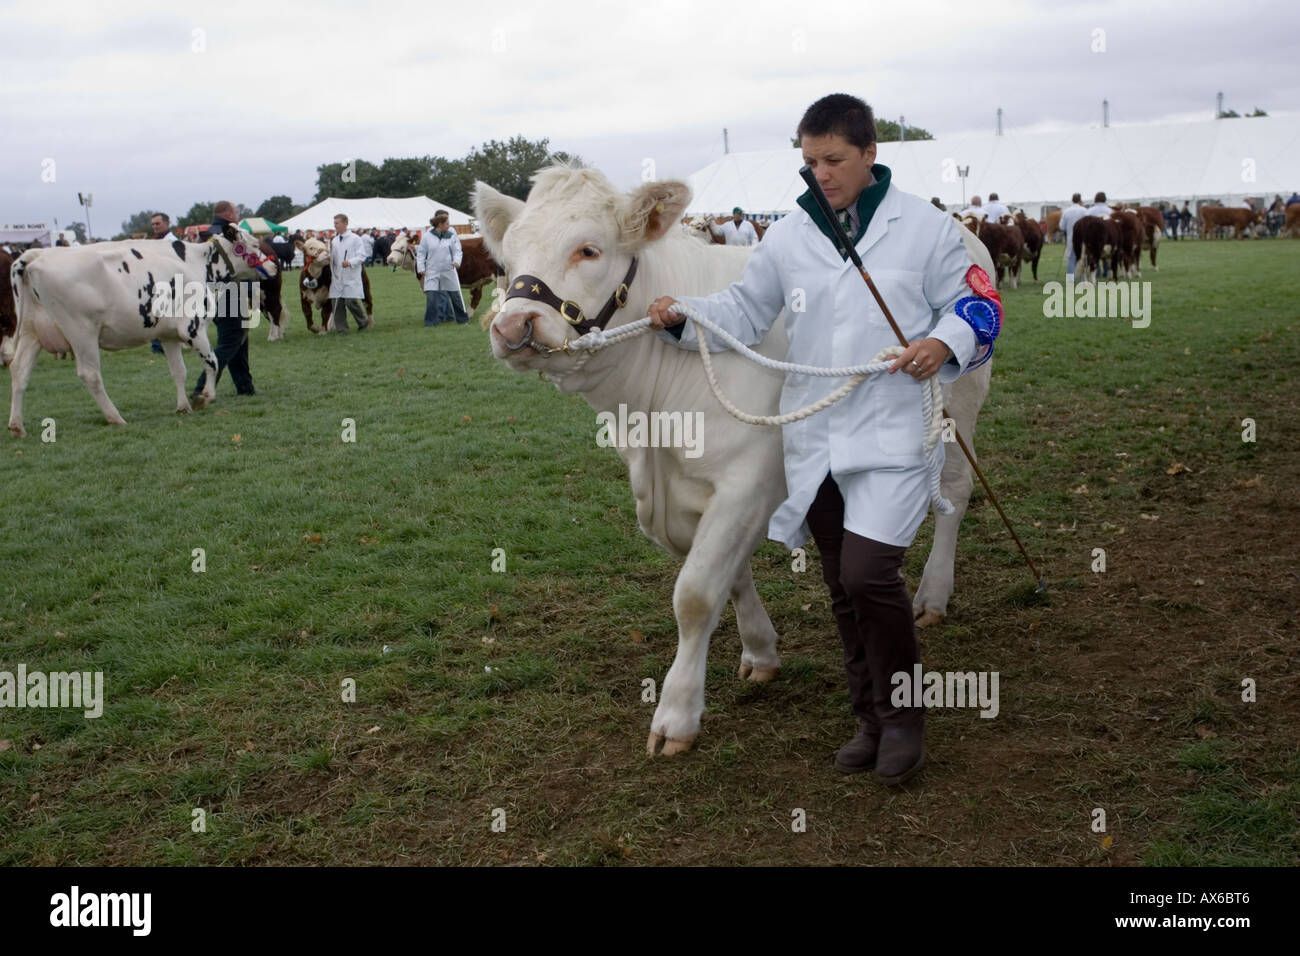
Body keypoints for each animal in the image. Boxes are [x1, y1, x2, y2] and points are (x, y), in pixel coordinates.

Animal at [5, 225, 276, 437]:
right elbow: (213, 361)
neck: (197, 263)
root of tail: (35, 254)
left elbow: (179, 371)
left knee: (19, 371)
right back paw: (115, 417)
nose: (274, 266)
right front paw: (205, 397)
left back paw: (17, 426)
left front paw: (183, 406)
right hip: (81, 331)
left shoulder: (169, 335)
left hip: (32, 332)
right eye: (254, 244)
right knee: (90, 375)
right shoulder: (193, 327)